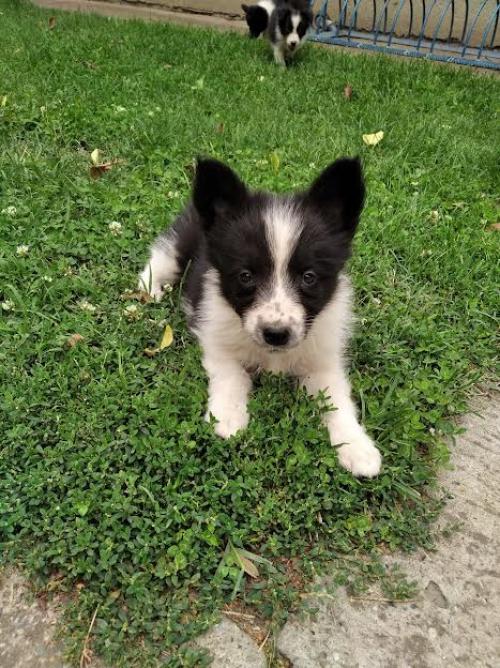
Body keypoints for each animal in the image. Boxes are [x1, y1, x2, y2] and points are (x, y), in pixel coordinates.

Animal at [140, 159, 382, 478]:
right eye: (245, 276)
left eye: (309, 277)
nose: (275, 334)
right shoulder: (216, 336)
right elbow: (233, 375)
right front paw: (228, 418)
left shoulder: (322, 358)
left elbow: (335, 399)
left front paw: (357, 446)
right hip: (182, 242)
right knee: (162, 257)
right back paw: (149, 287)